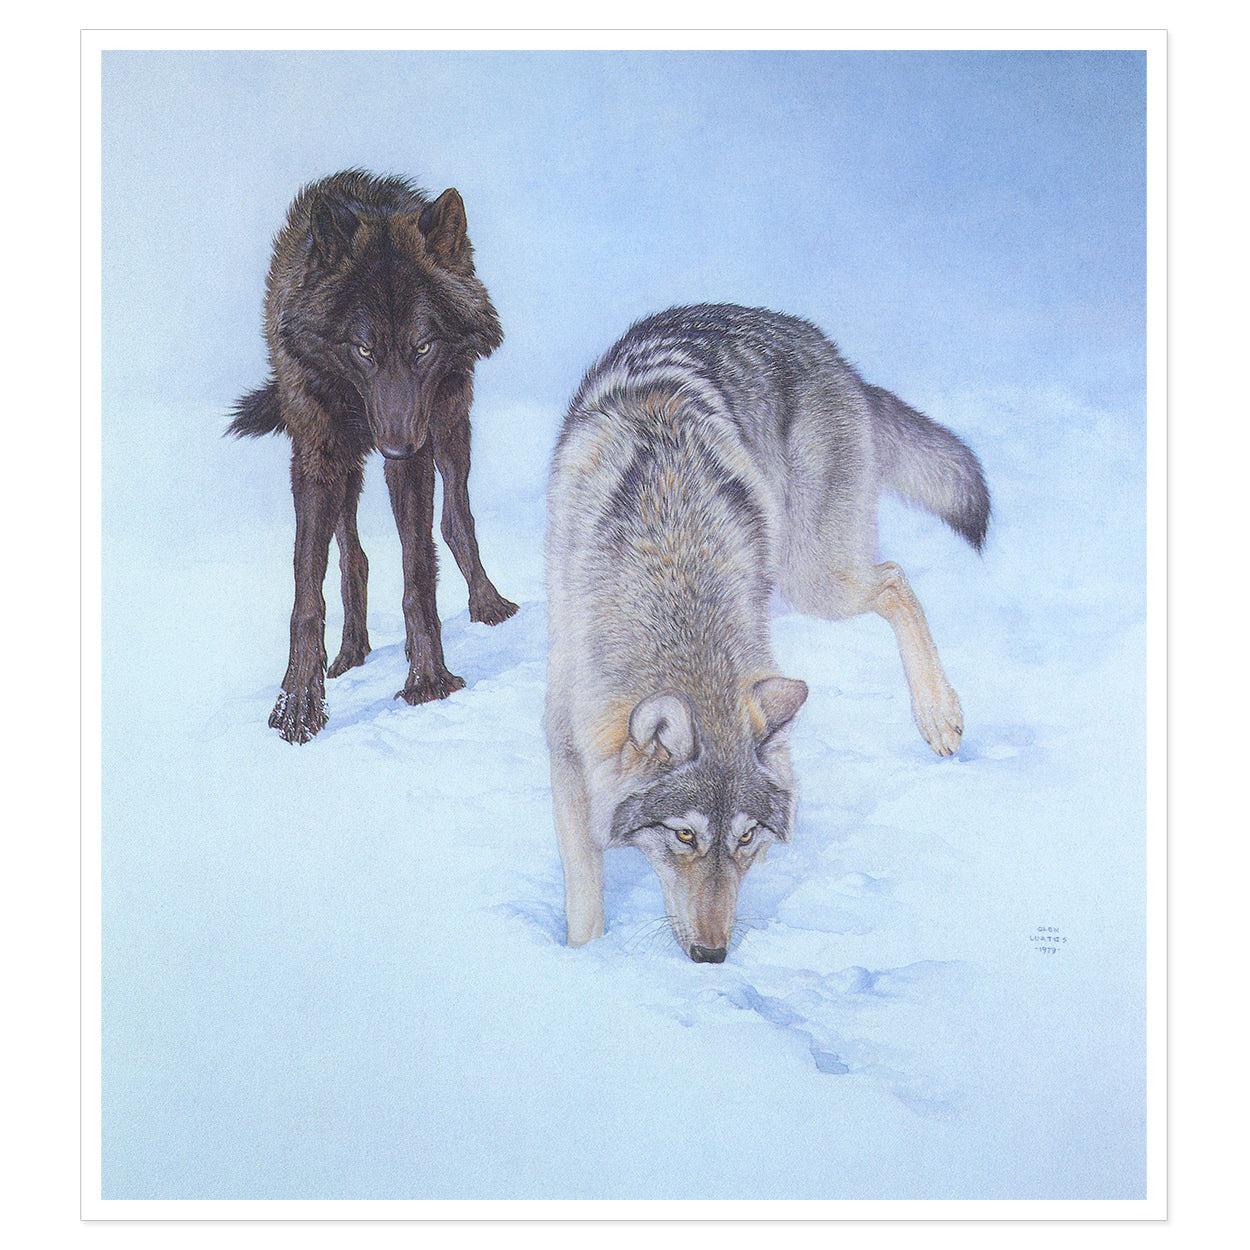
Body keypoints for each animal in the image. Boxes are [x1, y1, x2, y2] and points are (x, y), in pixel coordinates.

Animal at [228, 169, 517, 744]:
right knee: (353, 556)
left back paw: (487, 603)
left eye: (422, 348)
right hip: (351, 465)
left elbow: (417, 572)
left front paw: (428, 678)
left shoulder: (414, 451)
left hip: (448, 423)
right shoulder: (316, 456)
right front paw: (298, 703)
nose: (398, 445)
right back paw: (351, 652)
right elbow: (307, 589)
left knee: (456, 518)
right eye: (364, 350)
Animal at [545, 304, 990, 961]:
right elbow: (582, 886)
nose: (712, 956)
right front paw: (582, 958)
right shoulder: (566, 737)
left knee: (894, 580)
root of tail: (830, 352)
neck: (673, 563)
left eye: (746, 838)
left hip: (813, 579)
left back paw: (939, 716)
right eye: (684, 836)